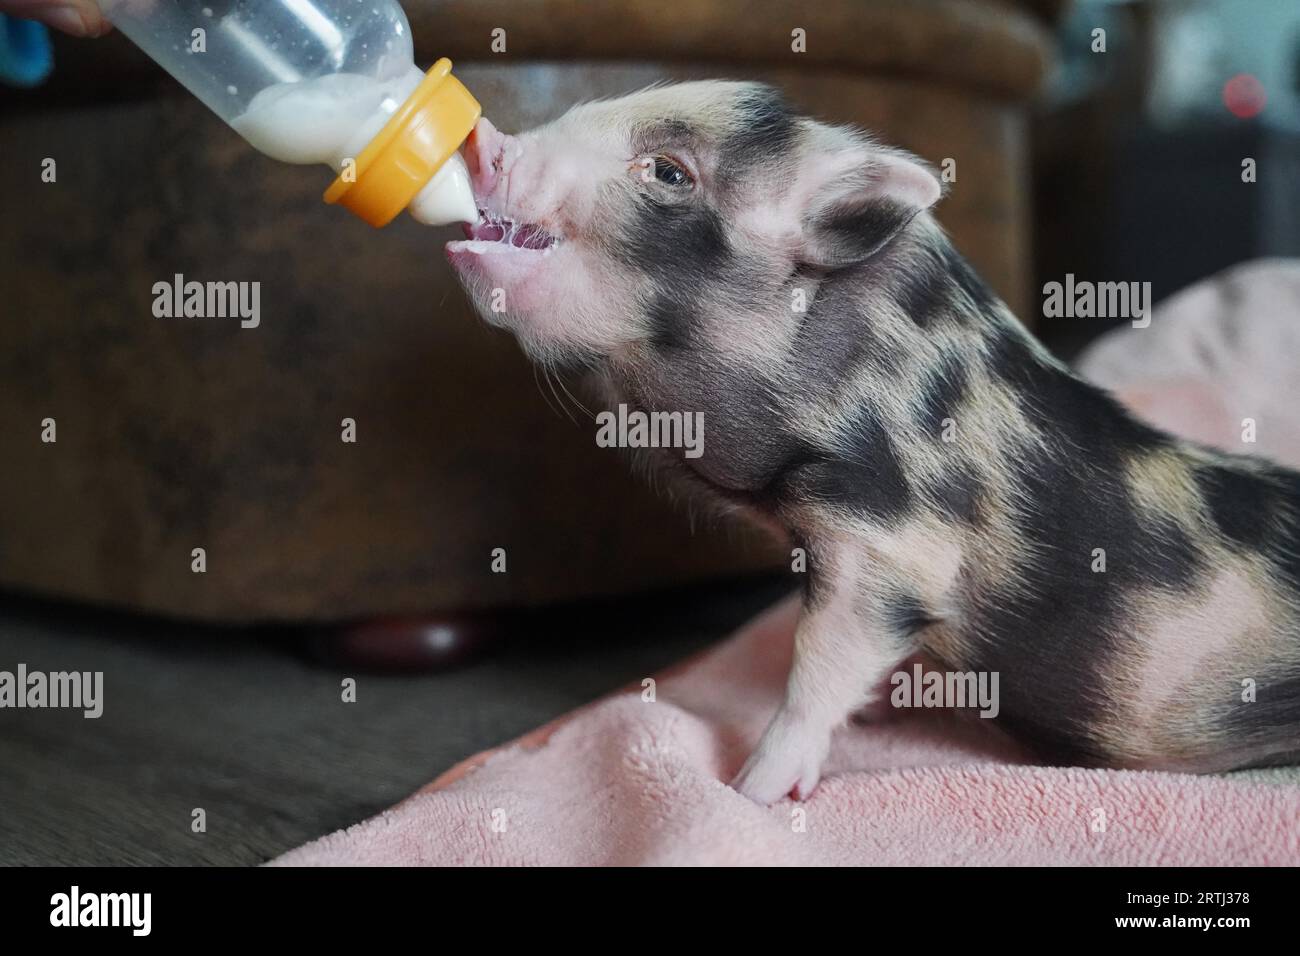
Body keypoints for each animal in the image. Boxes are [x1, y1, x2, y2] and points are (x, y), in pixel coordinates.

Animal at [446, 81, 1300, 804]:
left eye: (667, 171)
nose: (481, 135)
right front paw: (887, 707)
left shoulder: (893, 540)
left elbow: (819, 664)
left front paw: (749, 792)